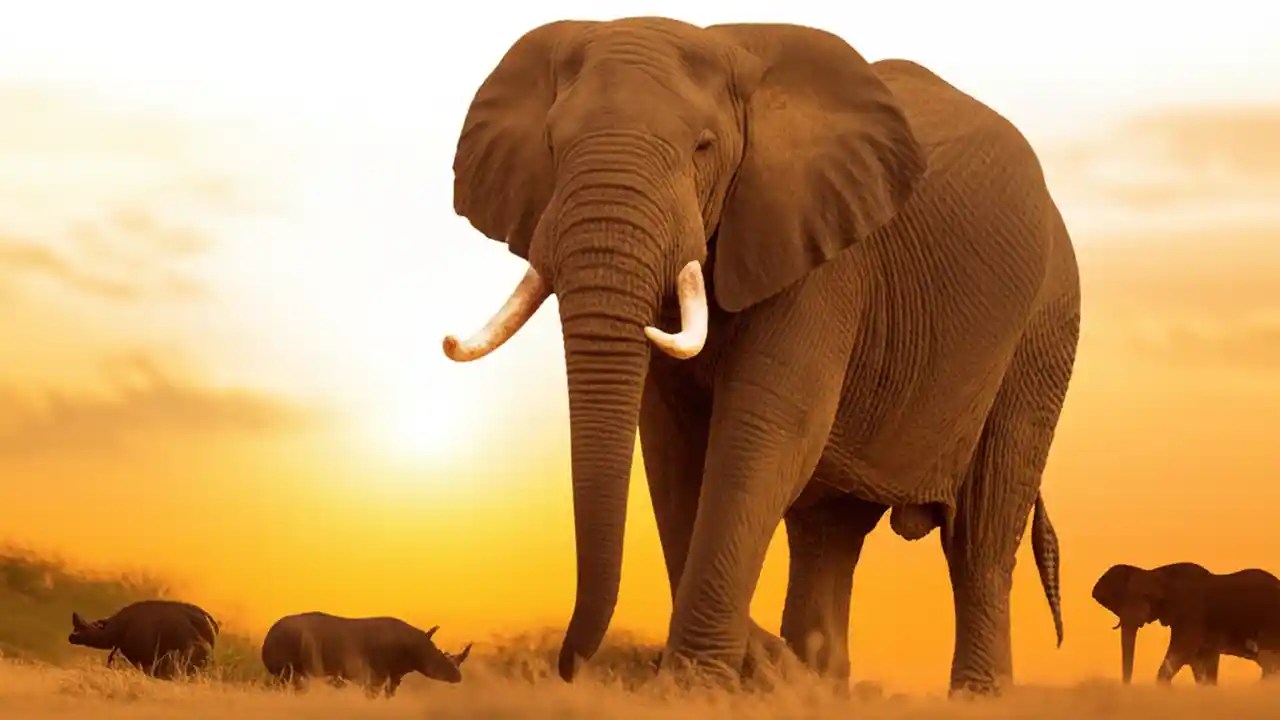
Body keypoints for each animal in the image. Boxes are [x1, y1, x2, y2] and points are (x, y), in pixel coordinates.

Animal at [261, 612, 473, 697]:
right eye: (438, 659)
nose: (458, 677)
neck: (418, 645)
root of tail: (268, 633)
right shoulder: (376, 674)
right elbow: (373, 694)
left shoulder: (395, 673)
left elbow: (390, 694)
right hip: (284, 642)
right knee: (287, 679)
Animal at [441, 17, 1080, 694]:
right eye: (552, 144)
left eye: (703, 146)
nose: (568, 665)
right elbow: (671, 446)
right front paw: (764, 673)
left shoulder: (821, 258)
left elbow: (763, 433)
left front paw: (695, 690)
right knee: (829, 531)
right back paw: (820, 683)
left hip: (1043, 330)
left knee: (981, 533)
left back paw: (968, 696)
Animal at [1092, 563, 1280, 685]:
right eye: (1117, 601)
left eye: (1147, 597)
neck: (1156, 573)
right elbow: (1198, 659)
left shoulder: (1191, 609)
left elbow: (1185, 649)